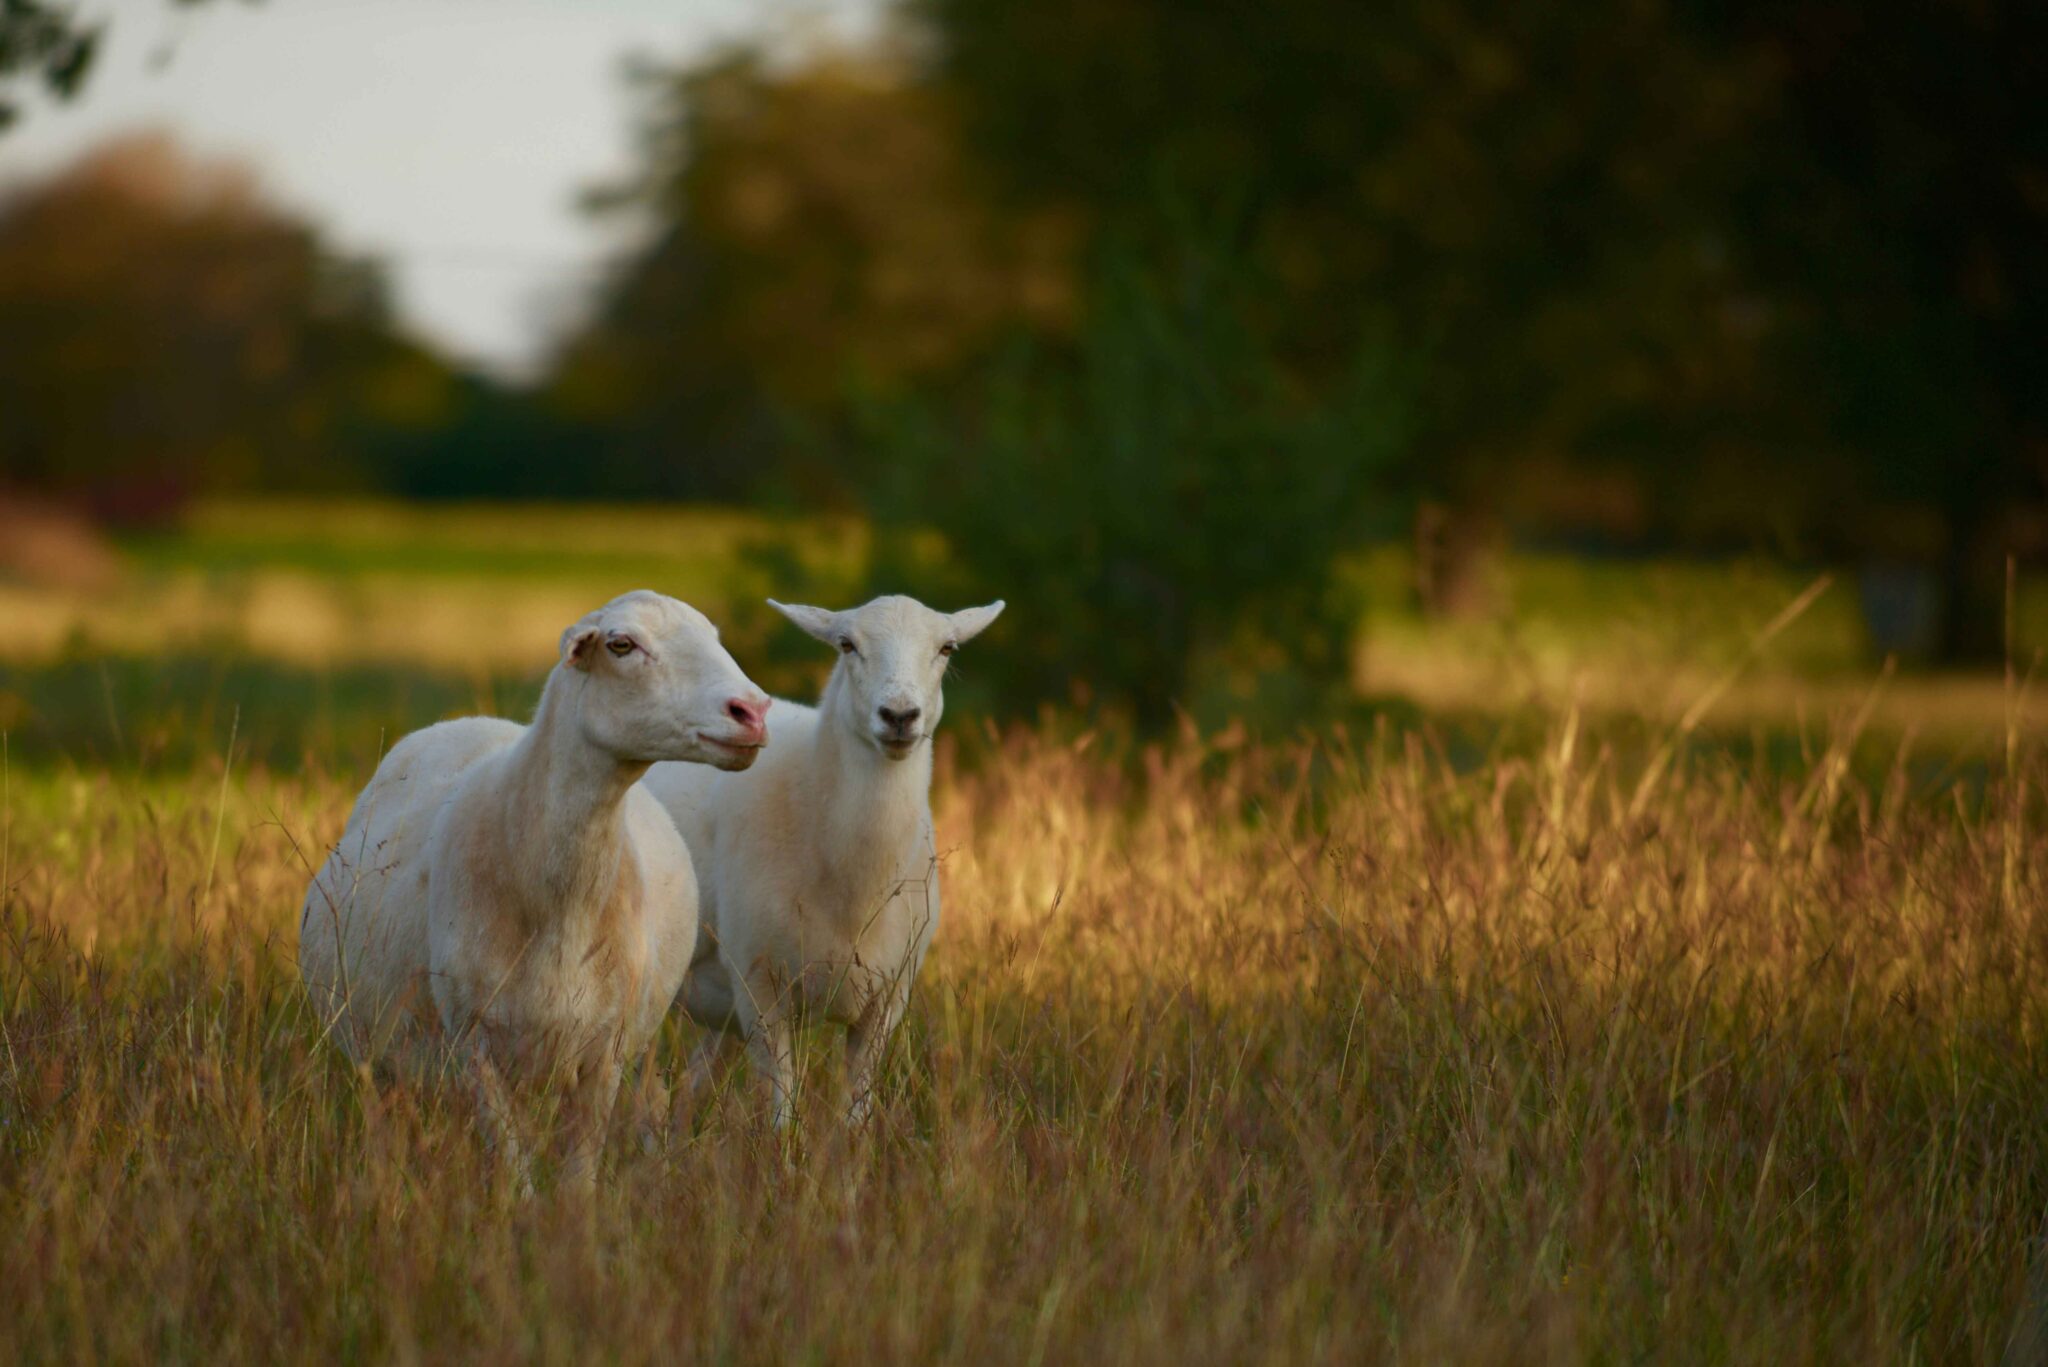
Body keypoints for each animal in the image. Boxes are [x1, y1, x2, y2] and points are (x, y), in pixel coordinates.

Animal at [298, 590, 771, 1186]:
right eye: (621, 645)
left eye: (712, 634)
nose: (753, 712)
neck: (558, 906)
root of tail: (470, 722)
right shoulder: (475, 1047)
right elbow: (514, 1172)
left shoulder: (603, 1055)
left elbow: (577, 1180)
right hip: (380, 1059)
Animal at [642, 593, 1004, 1130]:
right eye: (846, 644)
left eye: (947, 647)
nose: (900, 715)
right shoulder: (760, 990)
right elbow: (782, 1114)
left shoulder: (887, 998)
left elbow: (857, 1111)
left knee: (684, 1093)